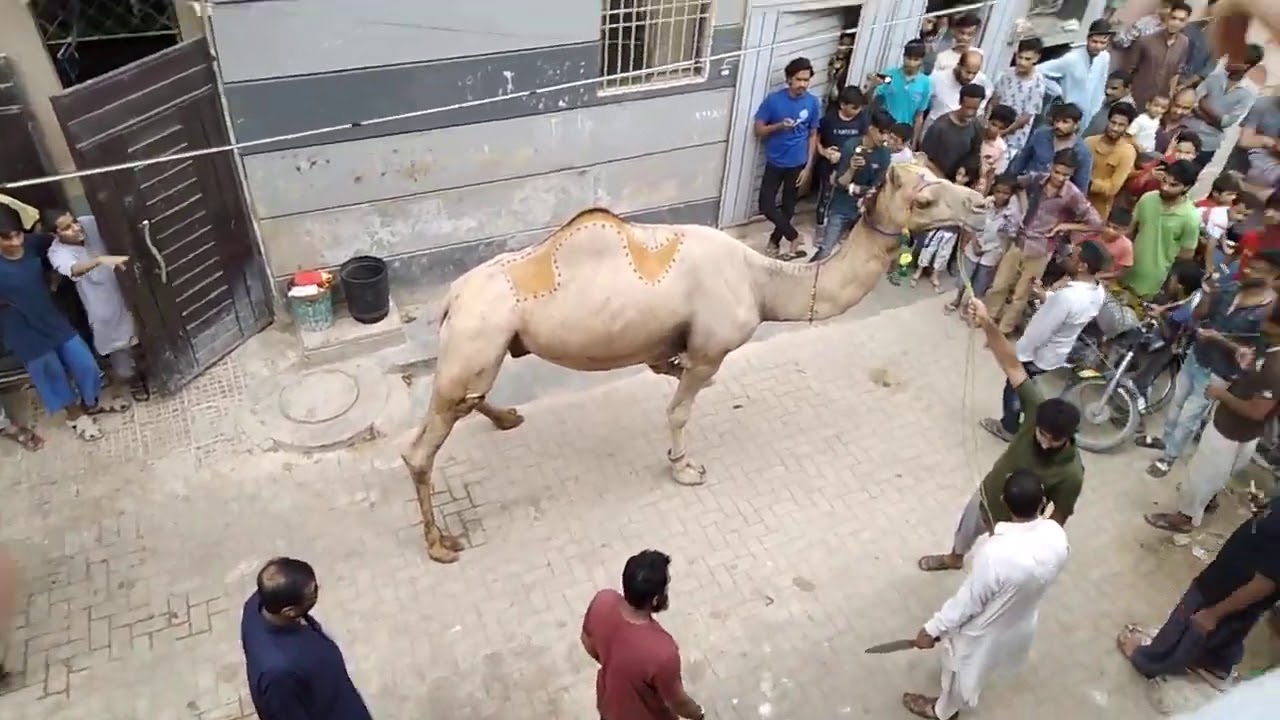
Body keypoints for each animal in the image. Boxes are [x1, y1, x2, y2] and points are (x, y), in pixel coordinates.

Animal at [403, 162, 989, 563]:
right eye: (924, 198)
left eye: (937, 174)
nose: (982, 203)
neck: (760, 280)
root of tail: (452, 296)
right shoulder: (711, 350)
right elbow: (680, 409)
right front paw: (685, 467)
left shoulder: (679, 347)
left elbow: (667, 371)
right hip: (478, 337)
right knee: (422, 446)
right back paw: (440, 543)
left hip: (487, 345)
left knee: (469, 399)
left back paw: (507, 418)